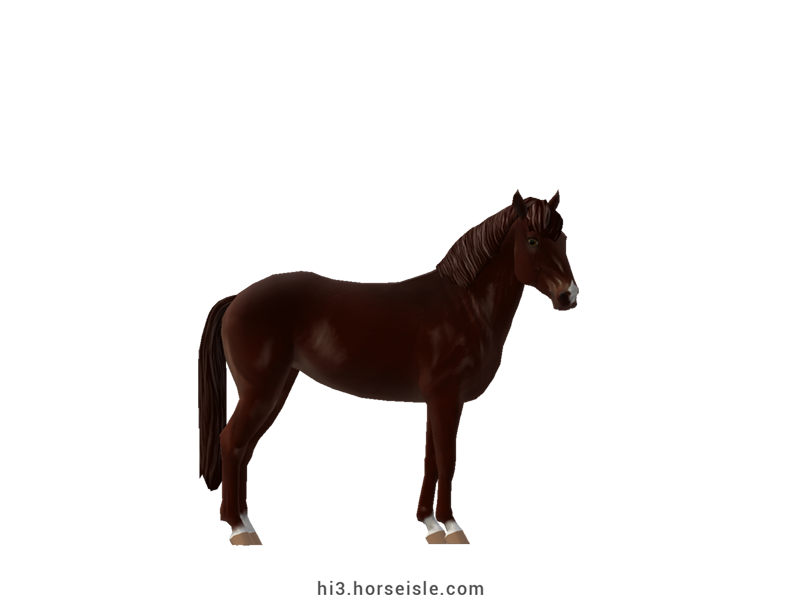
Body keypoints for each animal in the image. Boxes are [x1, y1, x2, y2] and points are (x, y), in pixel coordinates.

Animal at [199, 193, 578, 539]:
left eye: (559, 236)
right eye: (532, 239)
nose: (569, 294)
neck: (466, 306)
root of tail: (237, 299)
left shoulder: (438, 397)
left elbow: (432, 459)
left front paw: (428, 522)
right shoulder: (445, 395)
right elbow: (448, 457)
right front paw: (451, 524)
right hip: (258, 390)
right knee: (231, 443)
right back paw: (236, 527)